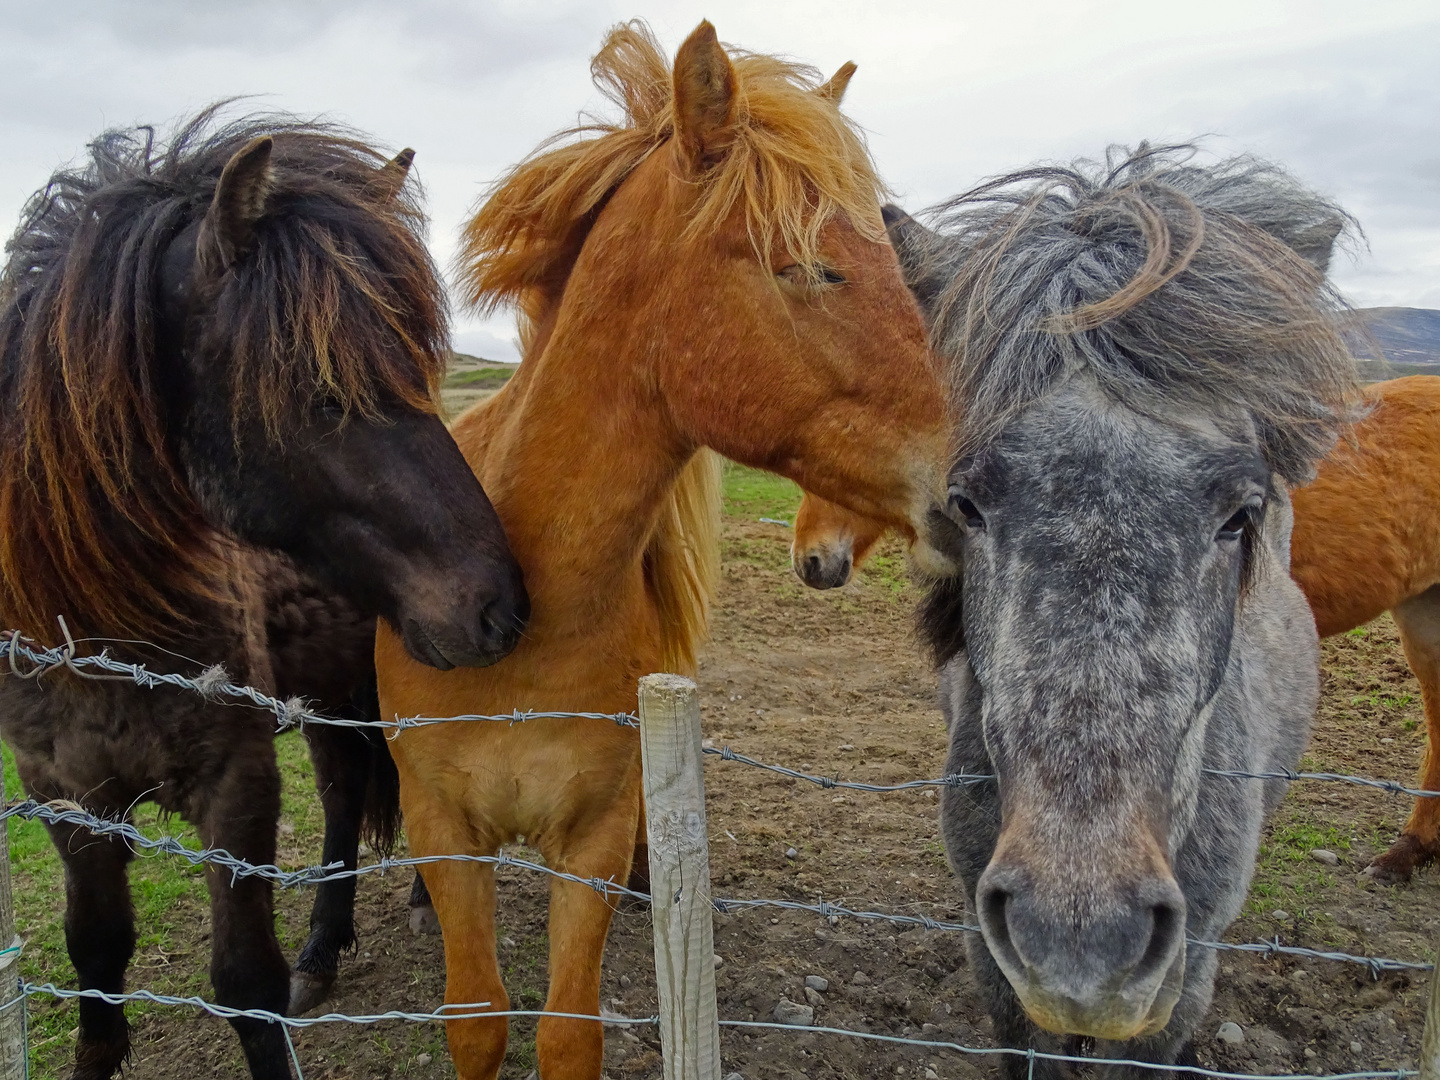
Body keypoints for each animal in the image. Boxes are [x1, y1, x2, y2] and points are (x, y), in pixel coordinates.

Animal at [0, 108, 529, 1080]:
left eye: (418, 370)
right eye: (320, 389)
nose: (500, 606)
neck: (98, 628)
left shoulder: (235, 783)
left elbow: (245, 980)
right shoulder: (61, 795)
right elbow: (96, 958)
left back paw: (413, 909)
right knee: (345, 790)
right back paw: (325, 948)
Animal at [373, 21, 952, 1080]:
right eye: (809, 264)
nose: (991, 468)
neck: (521, 620)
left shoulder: (590, 842)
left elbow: (568, 1034)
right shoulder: (446, 834)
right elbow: (477, 1021)